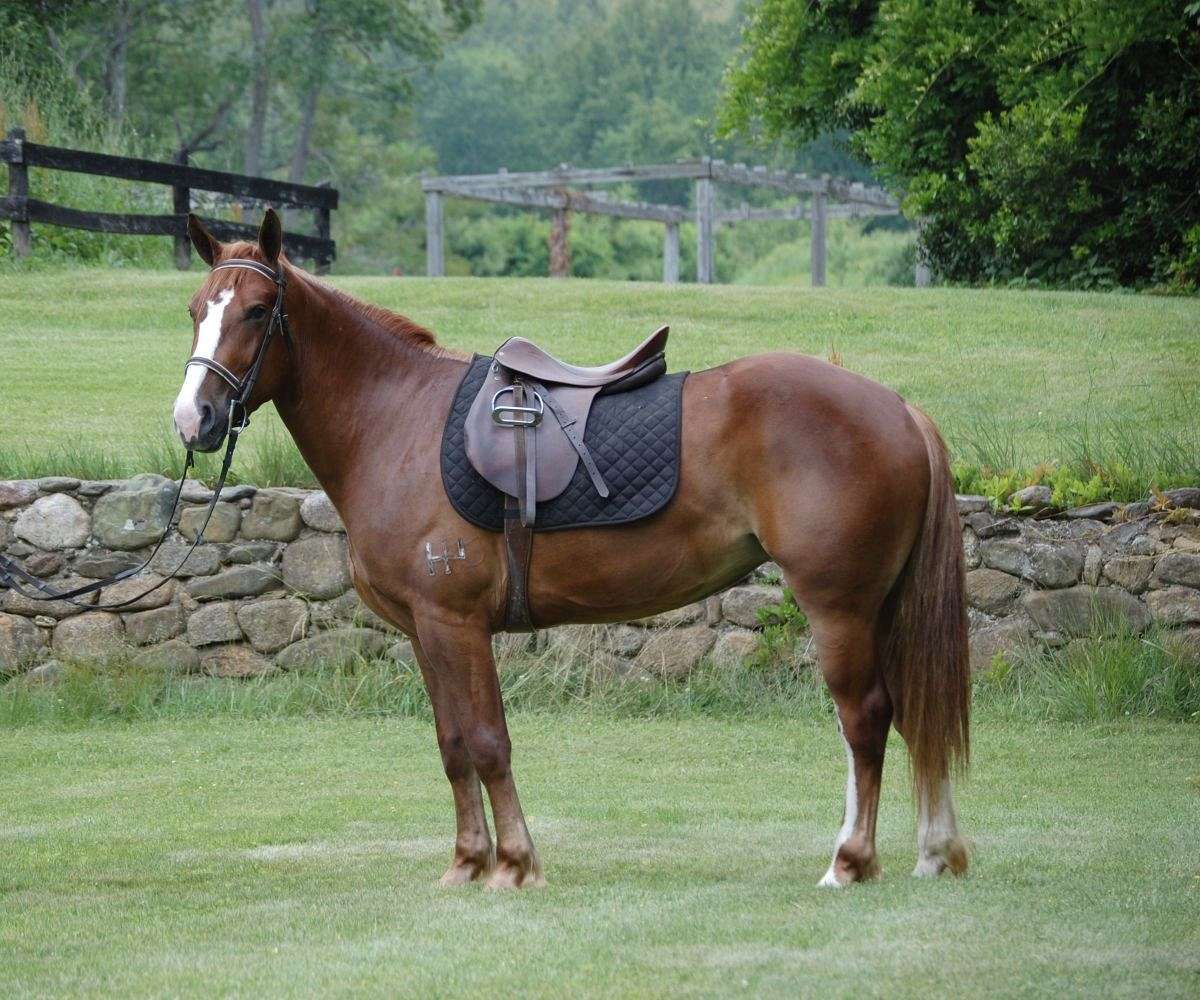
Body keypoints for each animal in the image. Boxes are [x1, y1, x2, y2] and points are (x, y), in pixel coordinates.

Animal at [172, 210, 970, 890]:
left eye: (255, 311)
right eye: (195, 310)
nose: (193, 419)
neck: (396, 421)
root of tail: (899, 409)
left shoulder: (455, 624)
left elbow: (487, 740)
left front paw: (513, 865)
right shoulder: (426, 632)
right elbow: (452, 743)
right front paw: (466, 863)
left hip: (839, 607)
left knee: (864, 718)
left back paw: (849, 861)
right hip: (879, 609)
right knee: (904, 714)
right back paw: (933, 851)